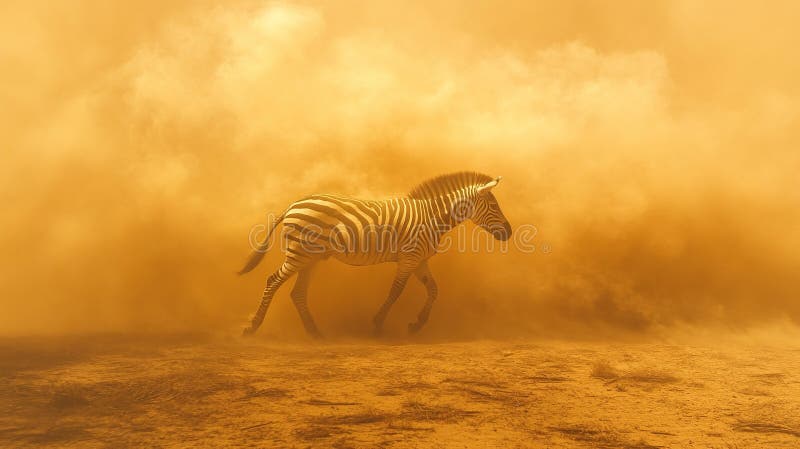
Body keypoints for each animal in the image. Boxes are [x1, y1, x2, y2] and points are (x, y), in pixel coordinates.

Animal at [238, 171, 512, 337]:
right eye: (494, 206)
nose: (508, 232)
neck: (433, 217)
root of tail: (294, 204)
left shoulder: (419, 260)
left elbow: (434, 290)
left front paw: (417, 324)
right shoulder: (409, 258)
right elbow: (395, 292)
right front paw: (378, 324)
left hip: (310, 258)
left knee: (297, 293)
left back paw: (314, 332)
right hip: (298, 254)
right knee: (272, 281)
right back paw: (253, 326)